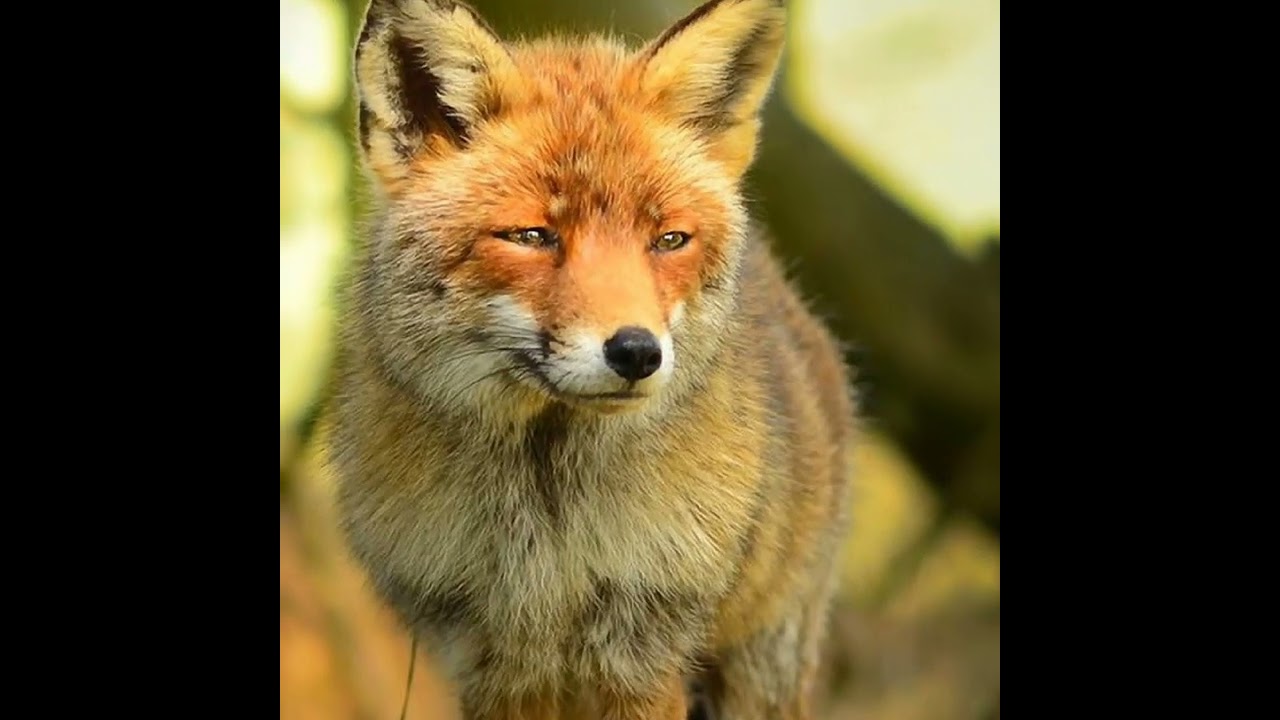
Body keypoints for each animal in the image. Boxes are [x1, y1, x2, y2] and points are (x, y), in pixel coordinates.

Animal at [329, 0, 858, 718]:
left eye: (670, 240)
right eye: (532, 236)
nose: (636, 352)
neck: (547, 533)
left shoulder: (643, 655)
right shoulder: (491, 668)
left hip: (761, 671)